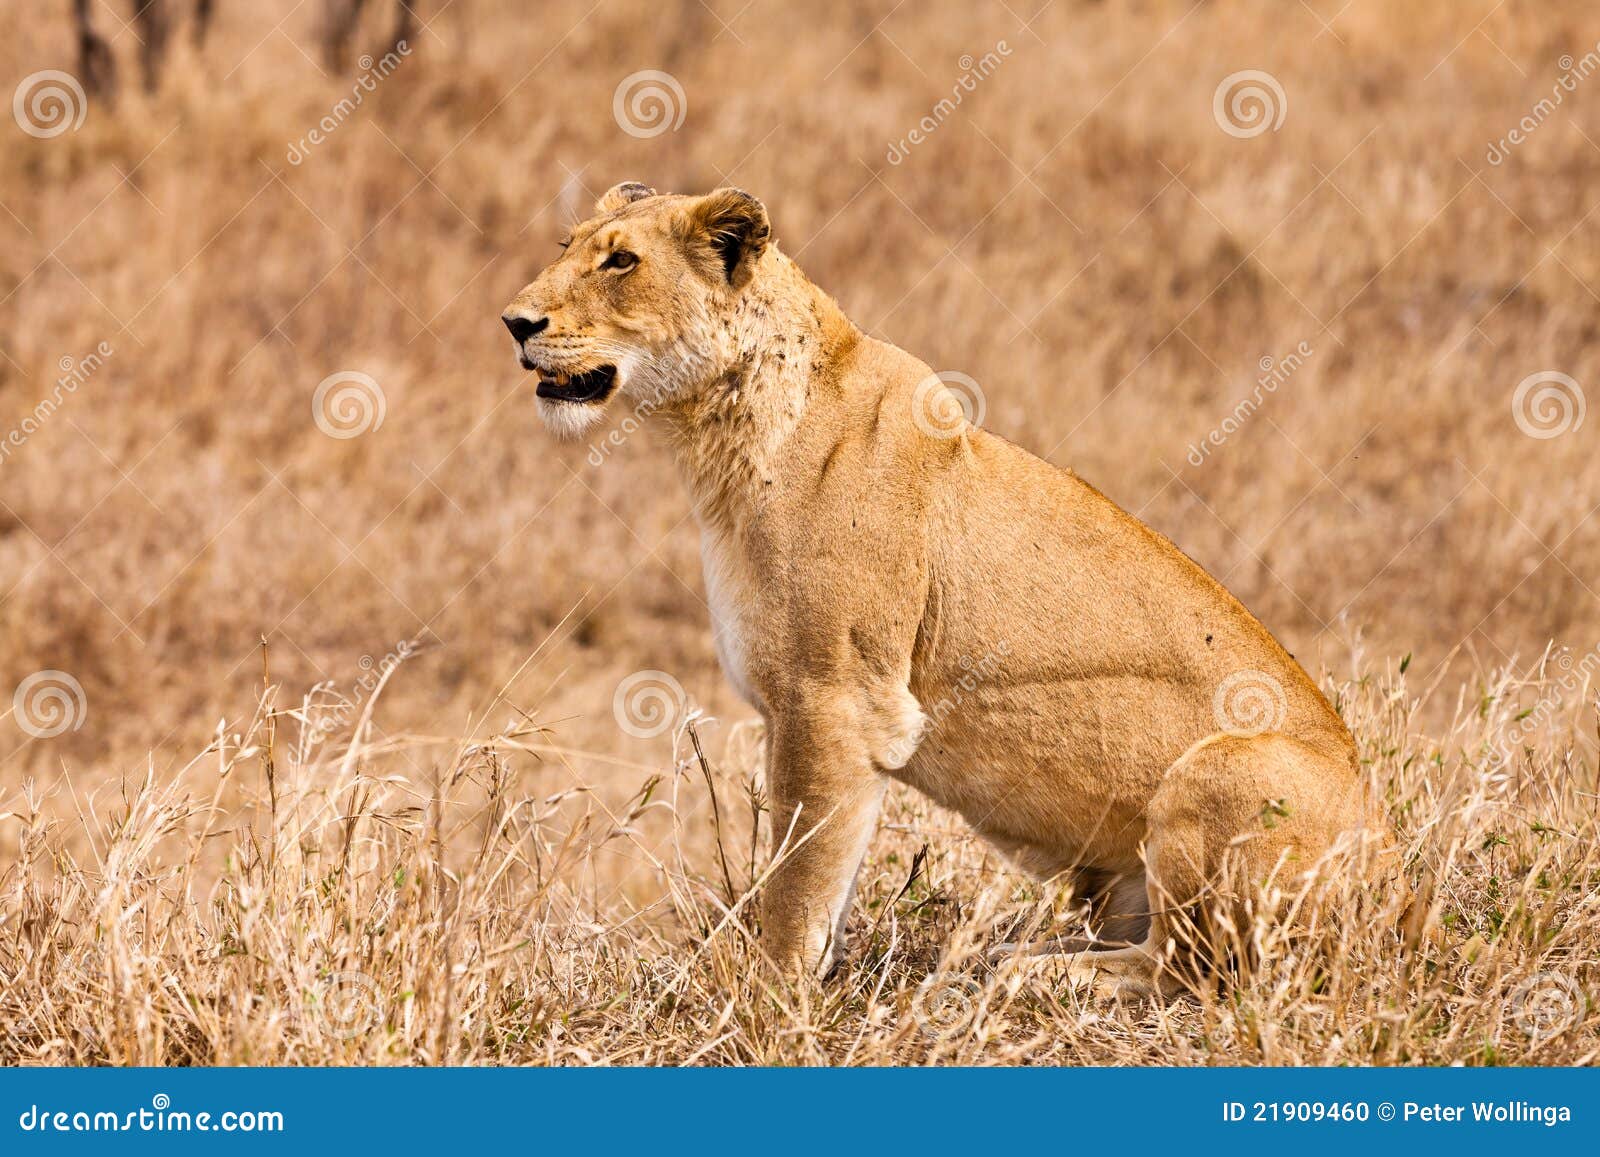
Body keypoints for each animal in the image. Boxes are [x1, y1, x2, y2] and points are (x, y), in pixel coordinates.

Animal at [501, 182, 1368, 997]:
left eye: (621, 262)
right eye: (567, 247)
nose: (514, 322)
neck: (718, 439)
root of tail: (1393, 886)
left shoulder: (834, 698)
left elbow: (796, 876)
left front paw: (764, 994)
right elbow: (820, 872)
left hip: (1225, 766)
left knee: (1191, 971)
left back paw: (1034, 971)